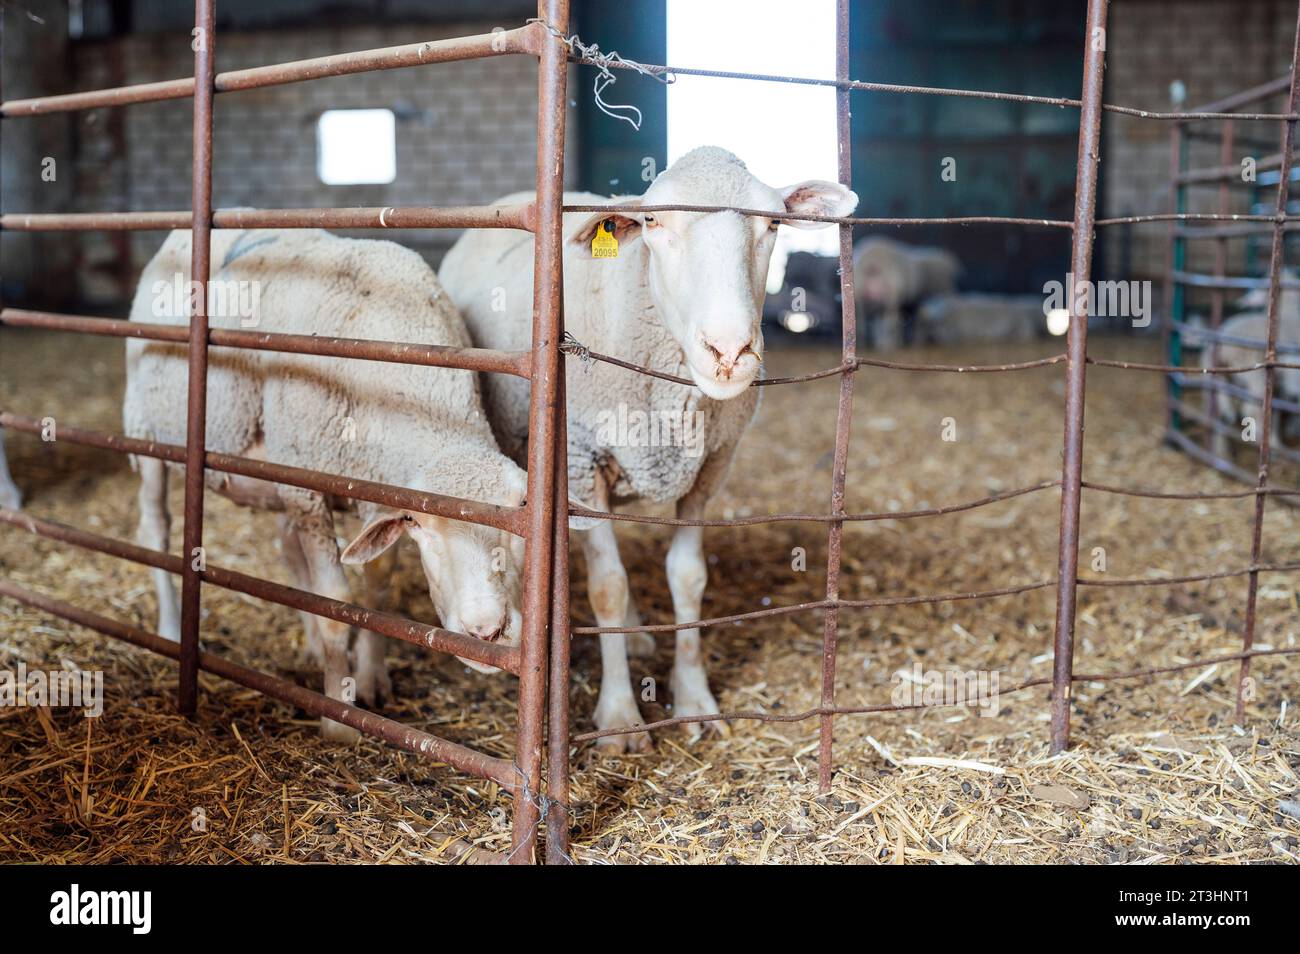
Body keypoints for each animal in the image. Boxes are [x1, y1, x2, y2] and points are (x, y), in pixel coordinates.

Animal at [123, 228, 529, 742]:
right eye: (422, 527)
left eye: (518, 519)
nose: (487, 634)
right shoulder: (310, 491)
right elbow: (336, 603)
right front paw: (338, 718)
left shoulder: (373, 492)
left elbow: (376, 591)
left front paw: (371, 680)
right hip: (148, 433)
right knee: (154, 529)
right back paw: (172, 629)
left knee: (286, 548)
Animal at [439, 146, 857, 753]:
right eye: (654, 221)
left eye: (774, 224)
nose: (729, 352)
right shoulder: (582, 466)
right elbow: (607, 587)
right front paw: (619, 718)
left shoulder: (709, 469)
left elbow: (688, 577)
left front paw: (695, 701)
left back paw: (638, 634)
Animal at [1199, 282, 1300, 460]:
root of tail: (1222, 344)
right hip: (1254, 374)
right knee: (1251, 410)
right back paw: (1269, 447)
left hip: (1213, 379)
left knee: (1215, 413)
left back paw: (1220, 454)